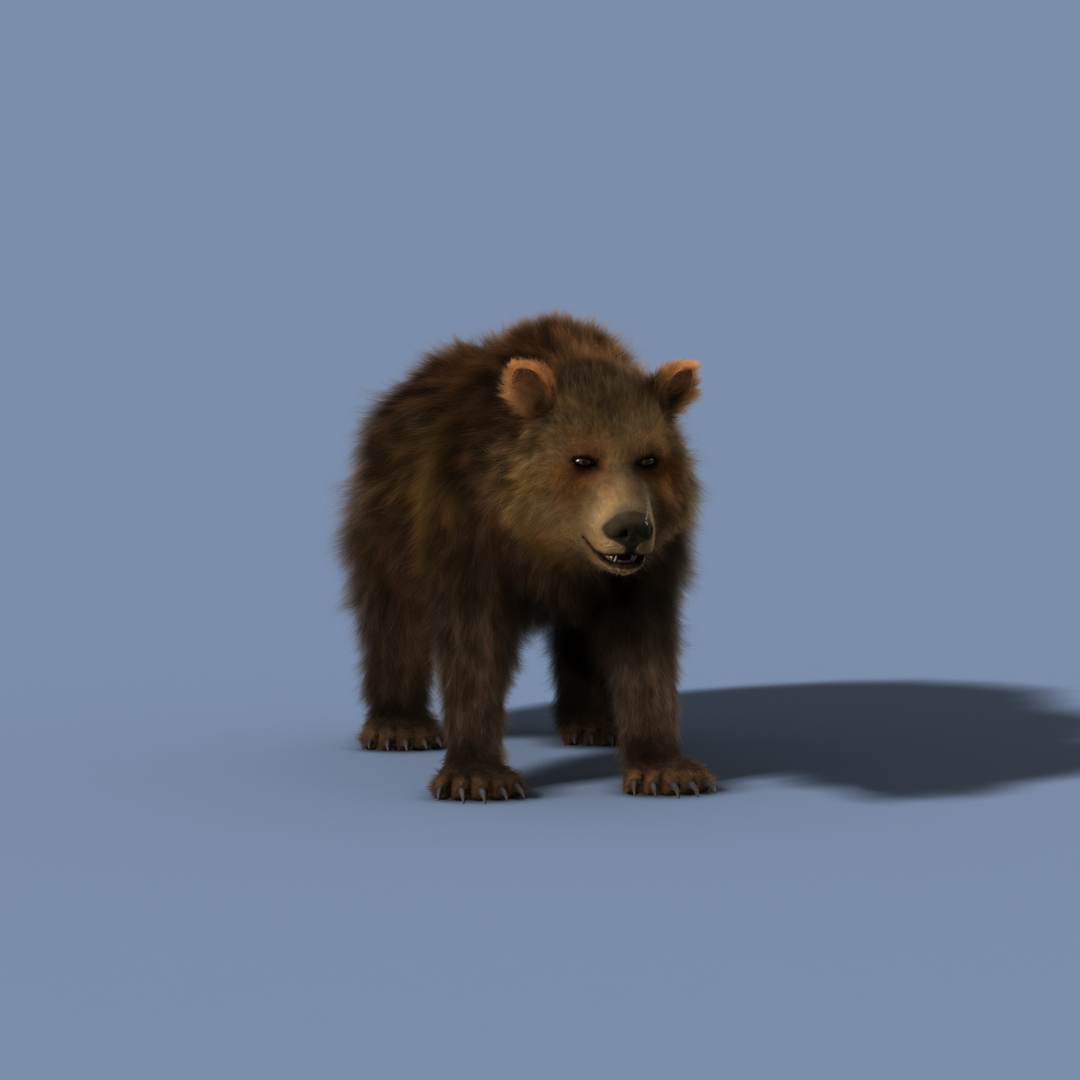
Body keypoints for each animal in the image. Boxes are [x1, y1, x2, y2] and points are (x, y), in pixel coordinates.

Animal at [338, 313, 716, 801]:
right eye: (582, 459)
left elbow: (643, 651)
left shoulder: (646, 570)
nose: (630, 529)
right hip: (387, 519)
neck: (547, 546)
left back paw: (592, 722)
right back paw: (400, 726)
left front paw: (666, 769)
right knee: (392, 616)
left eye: (649, 459)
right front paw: (477, 777)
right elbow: (473, 646)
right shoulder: (466, 535)